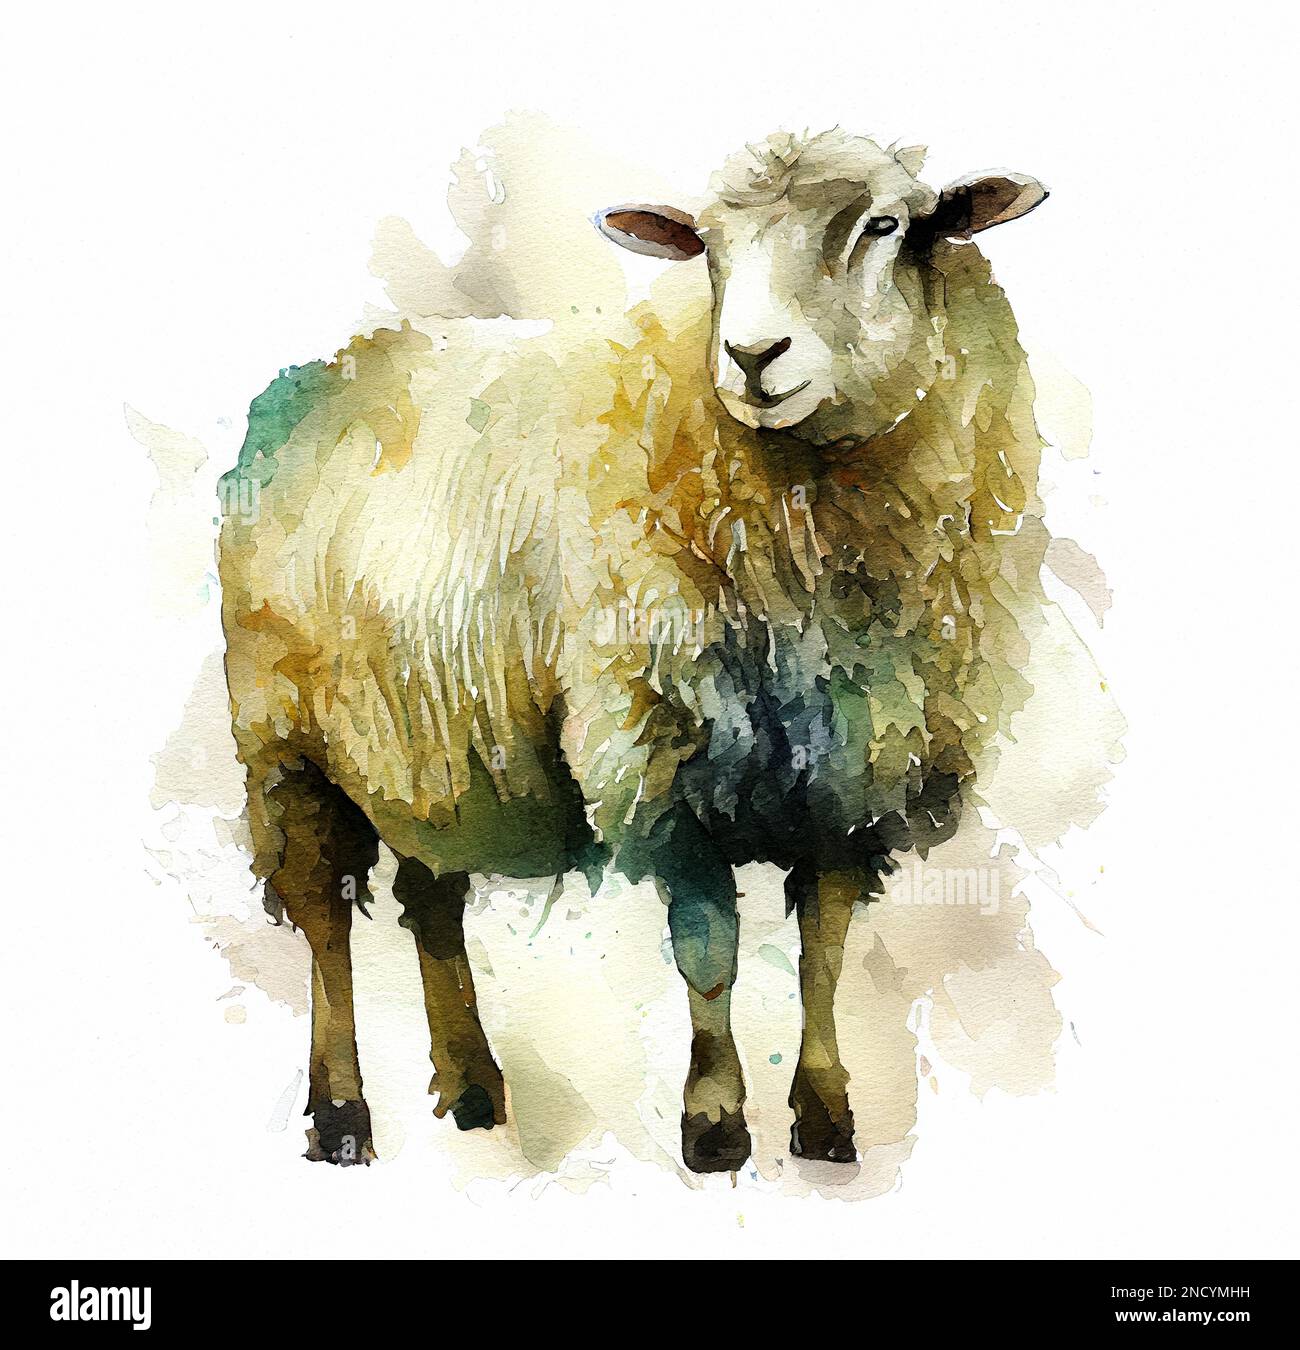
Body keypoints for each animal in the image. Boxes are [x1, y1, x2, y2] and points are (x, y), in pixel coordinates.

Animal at [218, 127, 1054, 1171]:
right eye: (709, 245)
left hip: (426, 741)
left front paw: (825, 1119)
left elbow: (823, 952)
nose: (752, 356)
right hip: (286, 740)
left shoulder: (851, 773)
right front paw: (716, 1124)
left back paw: (472, 1088)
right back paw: (340, 1113)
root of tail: (334, 365)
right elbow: (709, 952)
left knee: (431, 903)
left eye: (886, 225)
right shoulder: (662, 758)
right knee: (324, 918)